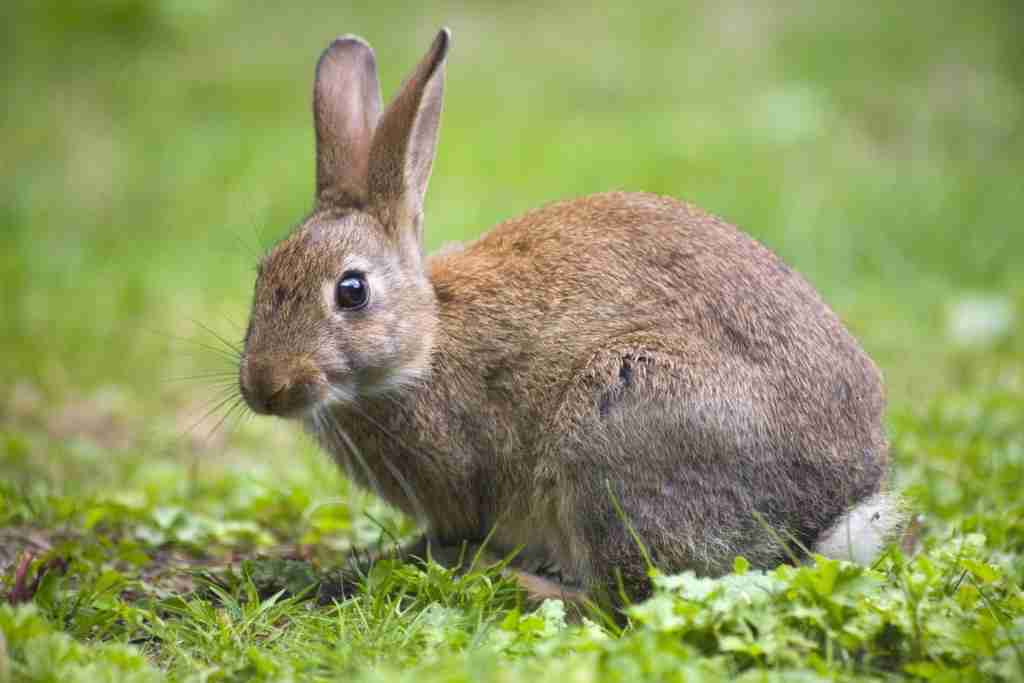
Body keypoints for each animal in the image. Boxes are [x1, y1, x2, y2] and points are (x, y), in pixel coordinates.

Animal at [238, 28, 907, 608]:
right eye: (262, 275)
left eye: (351, 292)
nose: (264, 388)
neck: (426, 341)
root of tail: (828, 511)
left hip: (618, 420)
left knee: (622, 596)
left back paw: (512, 581)